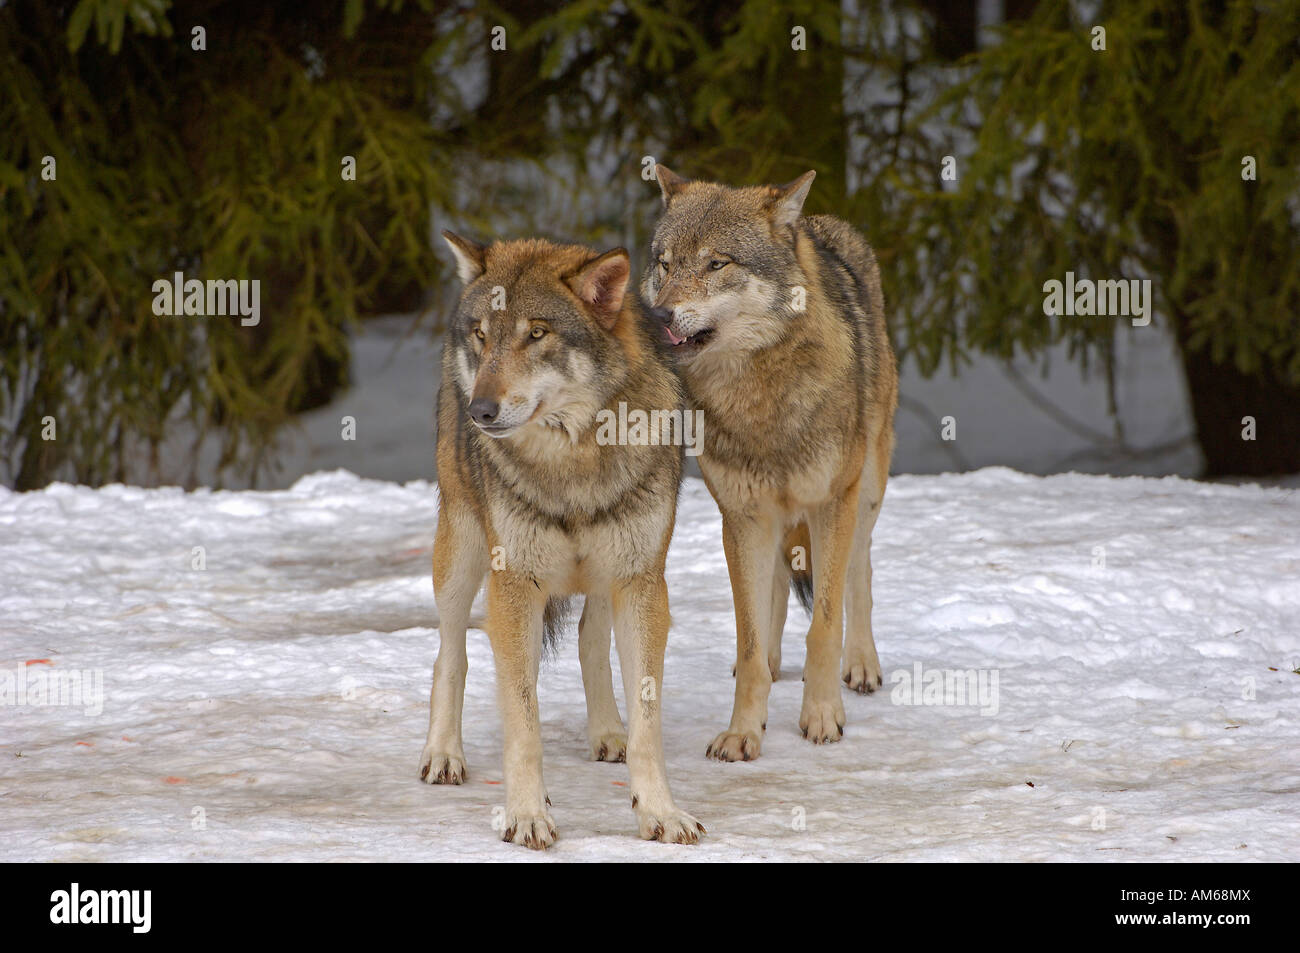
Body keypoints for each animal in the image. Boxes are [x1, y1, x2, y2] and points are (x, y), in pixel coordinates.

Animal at [419, 231, 704, 848]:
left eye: (537, 333)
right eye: (483, 334)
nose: (480, 411)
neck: (572, 462)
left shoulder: (642, 582)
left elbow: (648, 726)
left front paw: (661, 812)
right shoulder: (513, 588)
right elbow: (522, 725)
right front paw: (527, 815)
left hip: (603, 577)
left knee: (588, 638)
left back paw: (608, 732)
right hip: (460, 558)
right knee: (450, 654)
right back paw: (443, 754)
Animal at [643, 166, 898, 761]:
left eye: (717, 263)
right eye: (664, 263)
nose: (659, 313)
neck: (760, 398)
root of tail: (823, 223)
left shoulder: (832, 504)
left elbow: (824, 626)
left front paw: (822, 717)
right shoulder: (742, 516)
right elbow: (749, 636)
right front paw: (743, 730)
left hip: (866, 492)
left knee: (859, 572)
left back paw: (862, 665)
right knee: (778, 587)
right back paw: (777, 662)